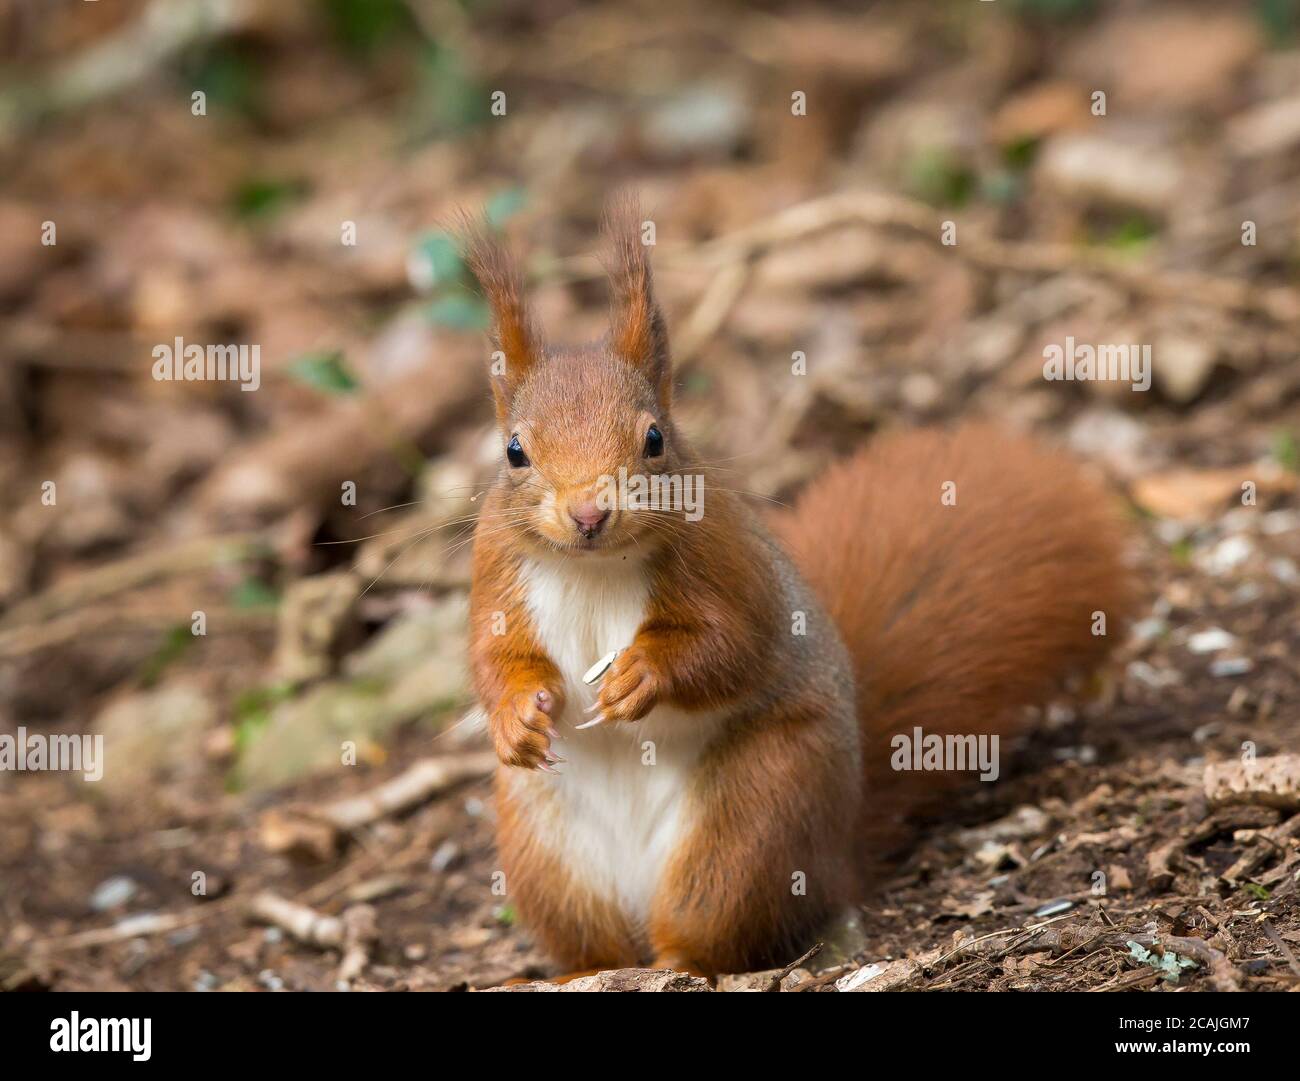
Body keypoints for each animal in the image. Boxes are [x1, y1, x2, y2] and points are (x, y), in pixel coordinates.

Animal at [463, 202, 1136, 980]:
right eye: (515, 451)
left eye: (655, 439)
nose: (588, 514)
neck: (595, 566)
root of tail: (839, 855)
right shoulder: (497, 572)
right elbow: (494, 658)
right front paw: (516, 718)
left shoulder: (727, 563)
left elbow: (732, 644)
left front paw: (641, 675)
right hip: (547, 849)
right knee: (593, 938)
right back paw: (580, 972)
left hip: (755, 817)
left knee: (709, 926)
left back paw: (680, 961)